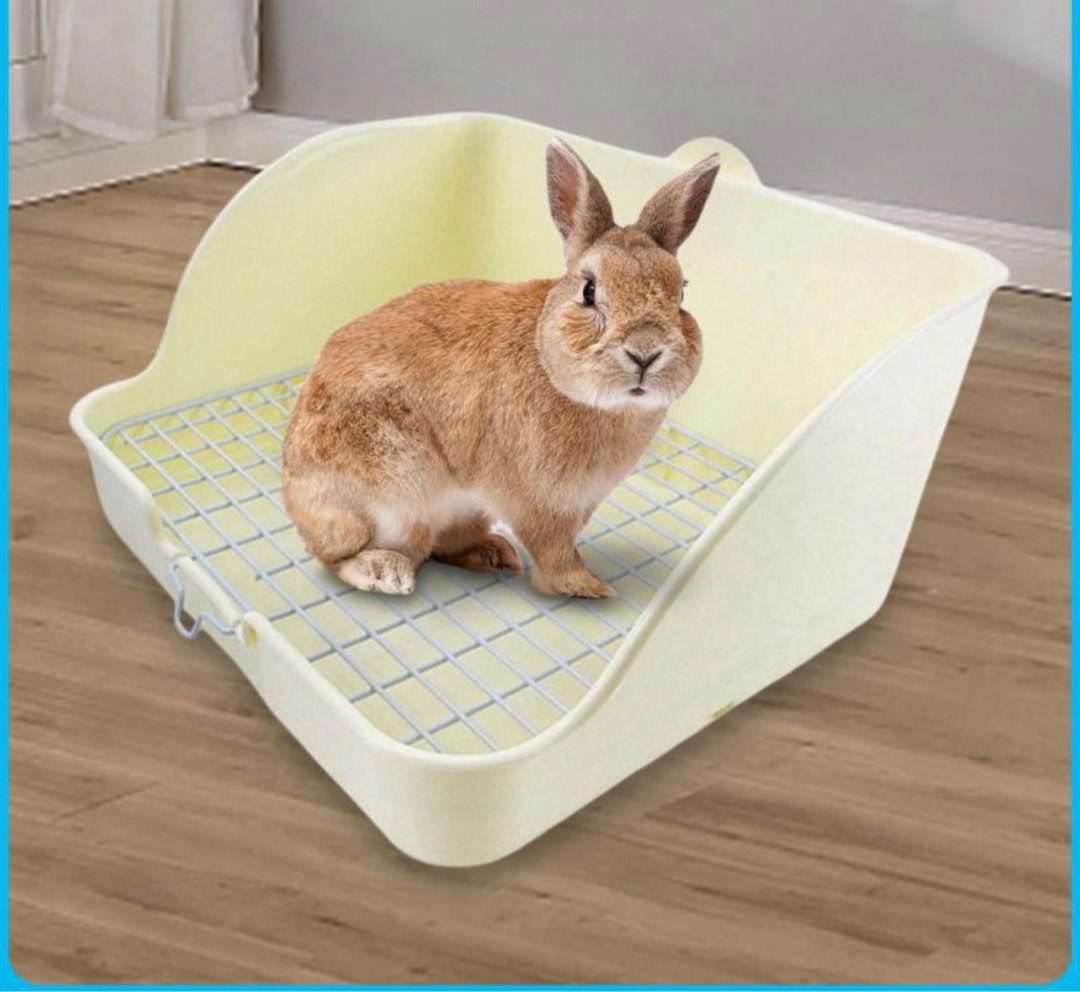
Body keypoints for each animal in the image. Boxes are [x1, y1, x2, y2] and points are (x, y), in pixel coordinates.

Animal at [283, 138, 720, 599]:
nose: (645, 352)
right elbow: (552, 549)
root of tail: (292, 497)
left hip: (458, 507)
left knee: (444, 542)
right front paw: (587, 587)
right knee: (339, 556)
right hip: (393, 499)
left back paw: (492, 553)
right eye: (589, 290)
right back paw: (386, 572)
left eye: (681, 294)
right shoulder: (538, 501)